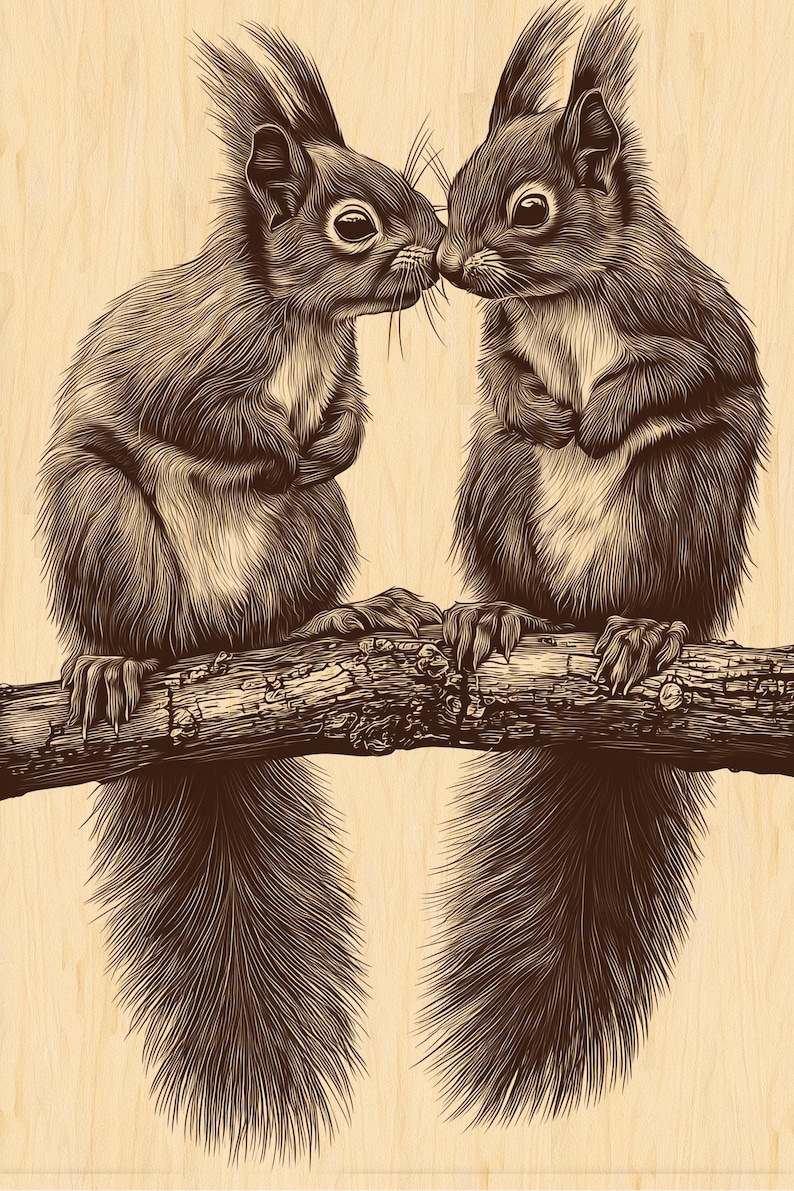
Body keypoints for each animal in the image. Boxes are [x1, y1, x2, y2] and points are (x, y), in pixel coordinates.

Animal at [38, 28, 443, 1159]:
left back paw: (339, 614)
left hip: (313, 534)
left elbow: (348, 417)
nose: (440, 247)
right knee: (136, 616)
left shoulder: (338, 374)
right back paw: (115, 662)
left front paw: (334, 439)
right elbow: (196, 413)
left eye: (413, 191)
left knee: (287, 595)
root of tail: (208, 638)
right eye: (353, 223)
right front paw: (271, 444)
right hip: (101, 518)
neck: (304, 319)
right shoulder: (189, 354)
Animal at [424, 1, 768, 1124]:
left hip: (686, 498)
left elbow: (695, 366)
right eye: (452, 187)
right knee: (517, 559)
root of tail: (584, 610)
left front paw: (604, 413)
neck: (567, 291)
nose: (449, 266)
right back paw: (499, 615)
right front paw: (546, 407)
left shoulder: (694, 317)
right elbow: (496, 366)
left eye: (529, 209)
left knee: (674, 593)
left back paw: (650, 628)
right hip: (493, 485)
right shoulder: (502, 345)